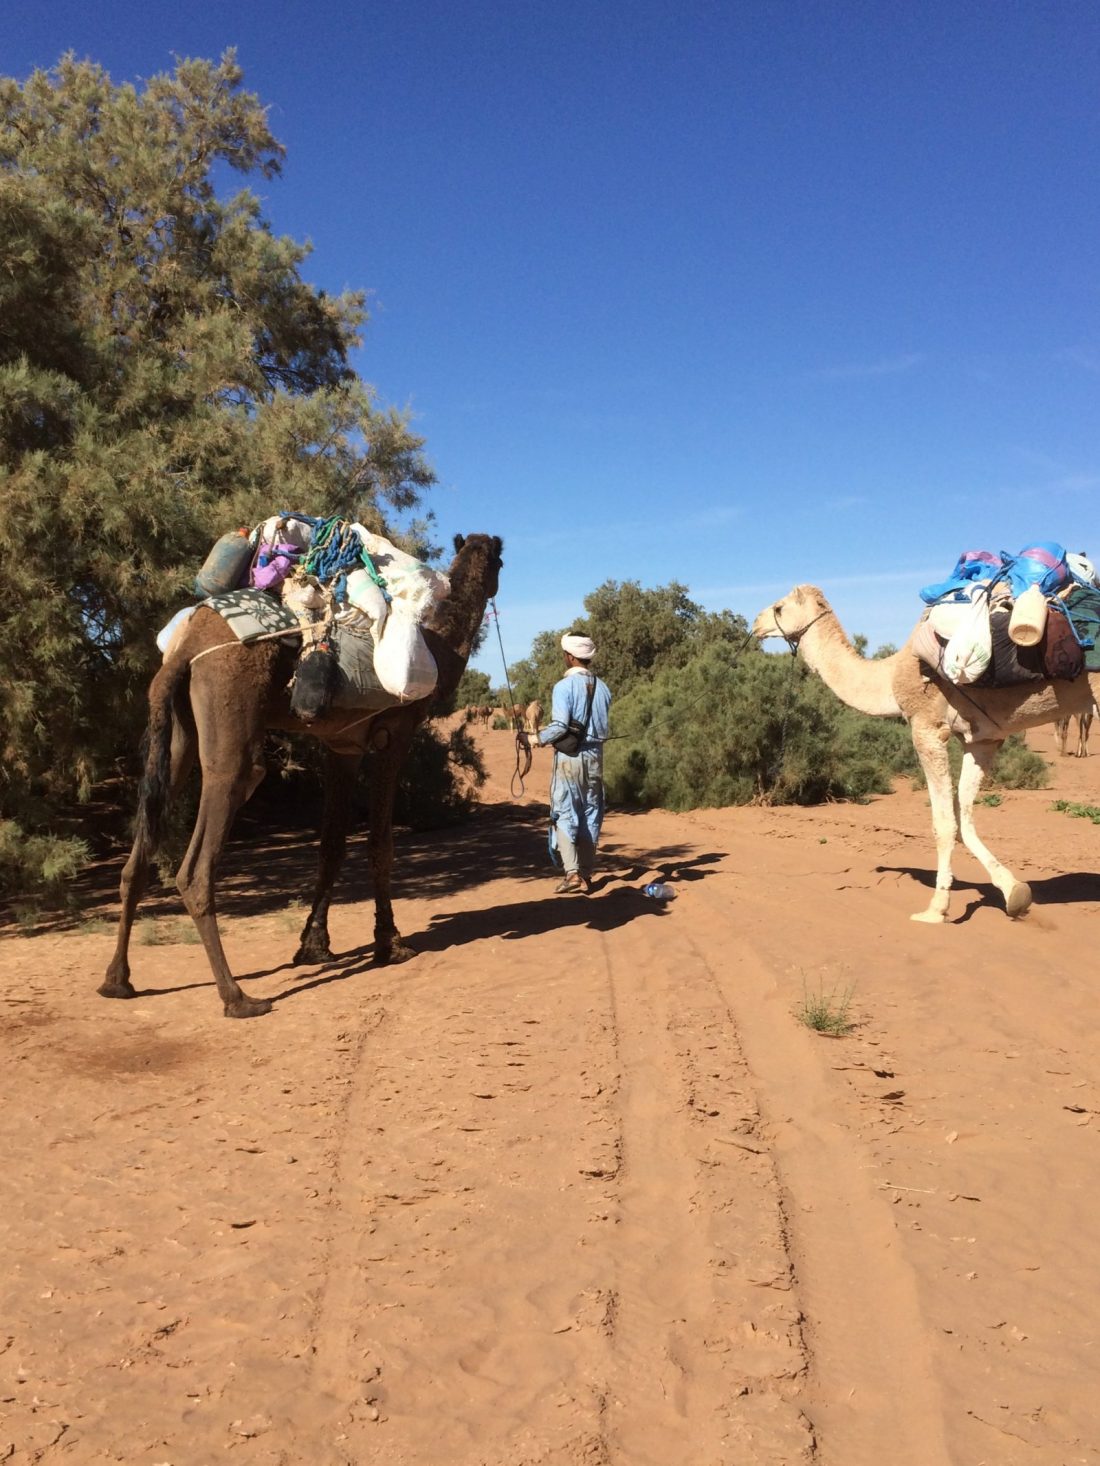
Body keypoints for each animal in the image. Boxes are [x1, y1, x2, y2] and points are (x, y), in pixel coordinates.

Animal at [101, 533, 504, 1018]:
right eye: (500, 561)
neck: (437, 646)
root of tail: (184, 648)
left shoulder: (342, 746)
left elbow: (331, 845)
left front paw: (314, 946)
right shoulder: (395, 735)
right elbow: (380, 843)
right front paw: (390, 943)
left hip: (176, 732)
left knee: (137, 857)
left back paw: (117, 981)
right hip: (229, 709)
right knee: (201, 857)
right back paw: (238, 997)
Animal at [753, 584, 1100, 923]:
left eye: (779, 608)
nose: (756, 623)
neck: (891, 675)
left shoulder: (927, 727)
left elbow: (944, 822)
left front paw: (936, 909)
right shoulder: (983, 740)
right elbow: (965, 817)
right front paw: (1015, 893)